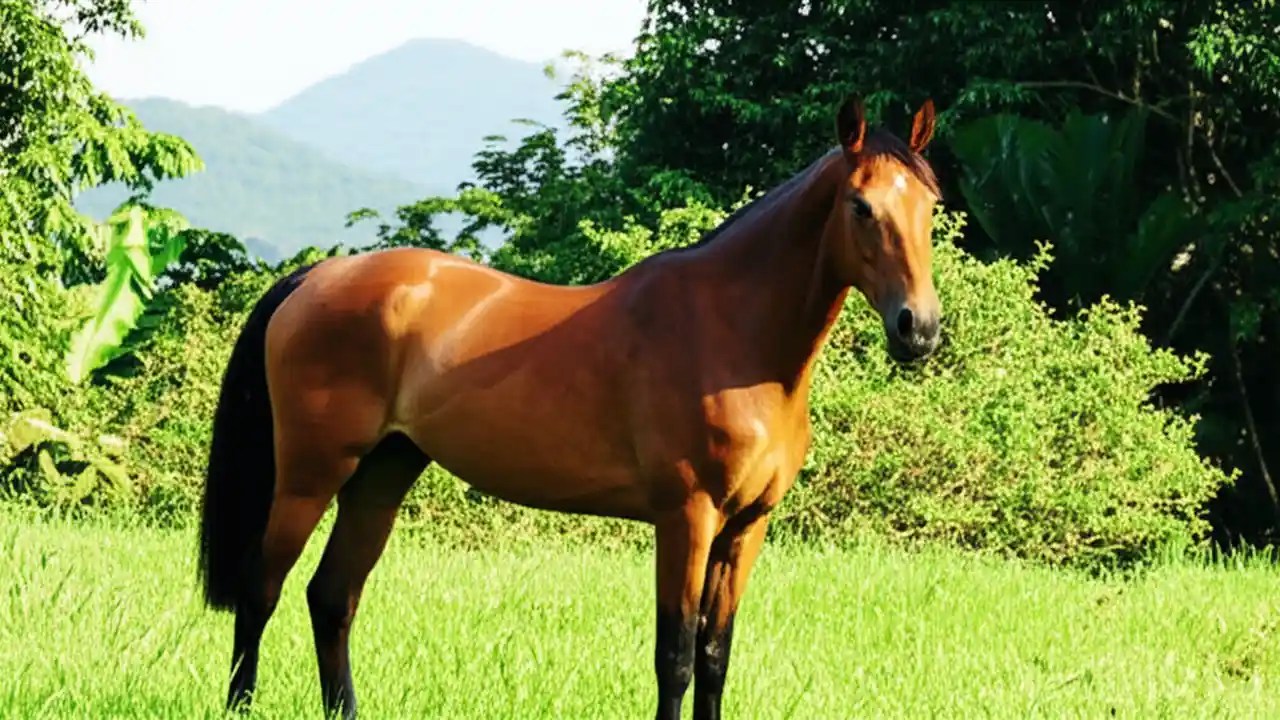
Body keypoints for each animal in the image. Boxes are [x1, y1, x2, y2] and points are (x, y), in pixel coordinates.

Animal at [196, 94, 943, 720]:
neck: (733, 337)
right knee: (262, 589)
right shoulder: (687, 518)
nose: (919, 328)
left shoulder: (745, 527)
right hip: (311, 474)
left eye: (930, 207)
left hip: (383, 473)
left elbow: (714, 656)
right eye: (860, 206)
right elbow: (674, 656)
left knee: (332, 597)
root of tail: (317, 276)